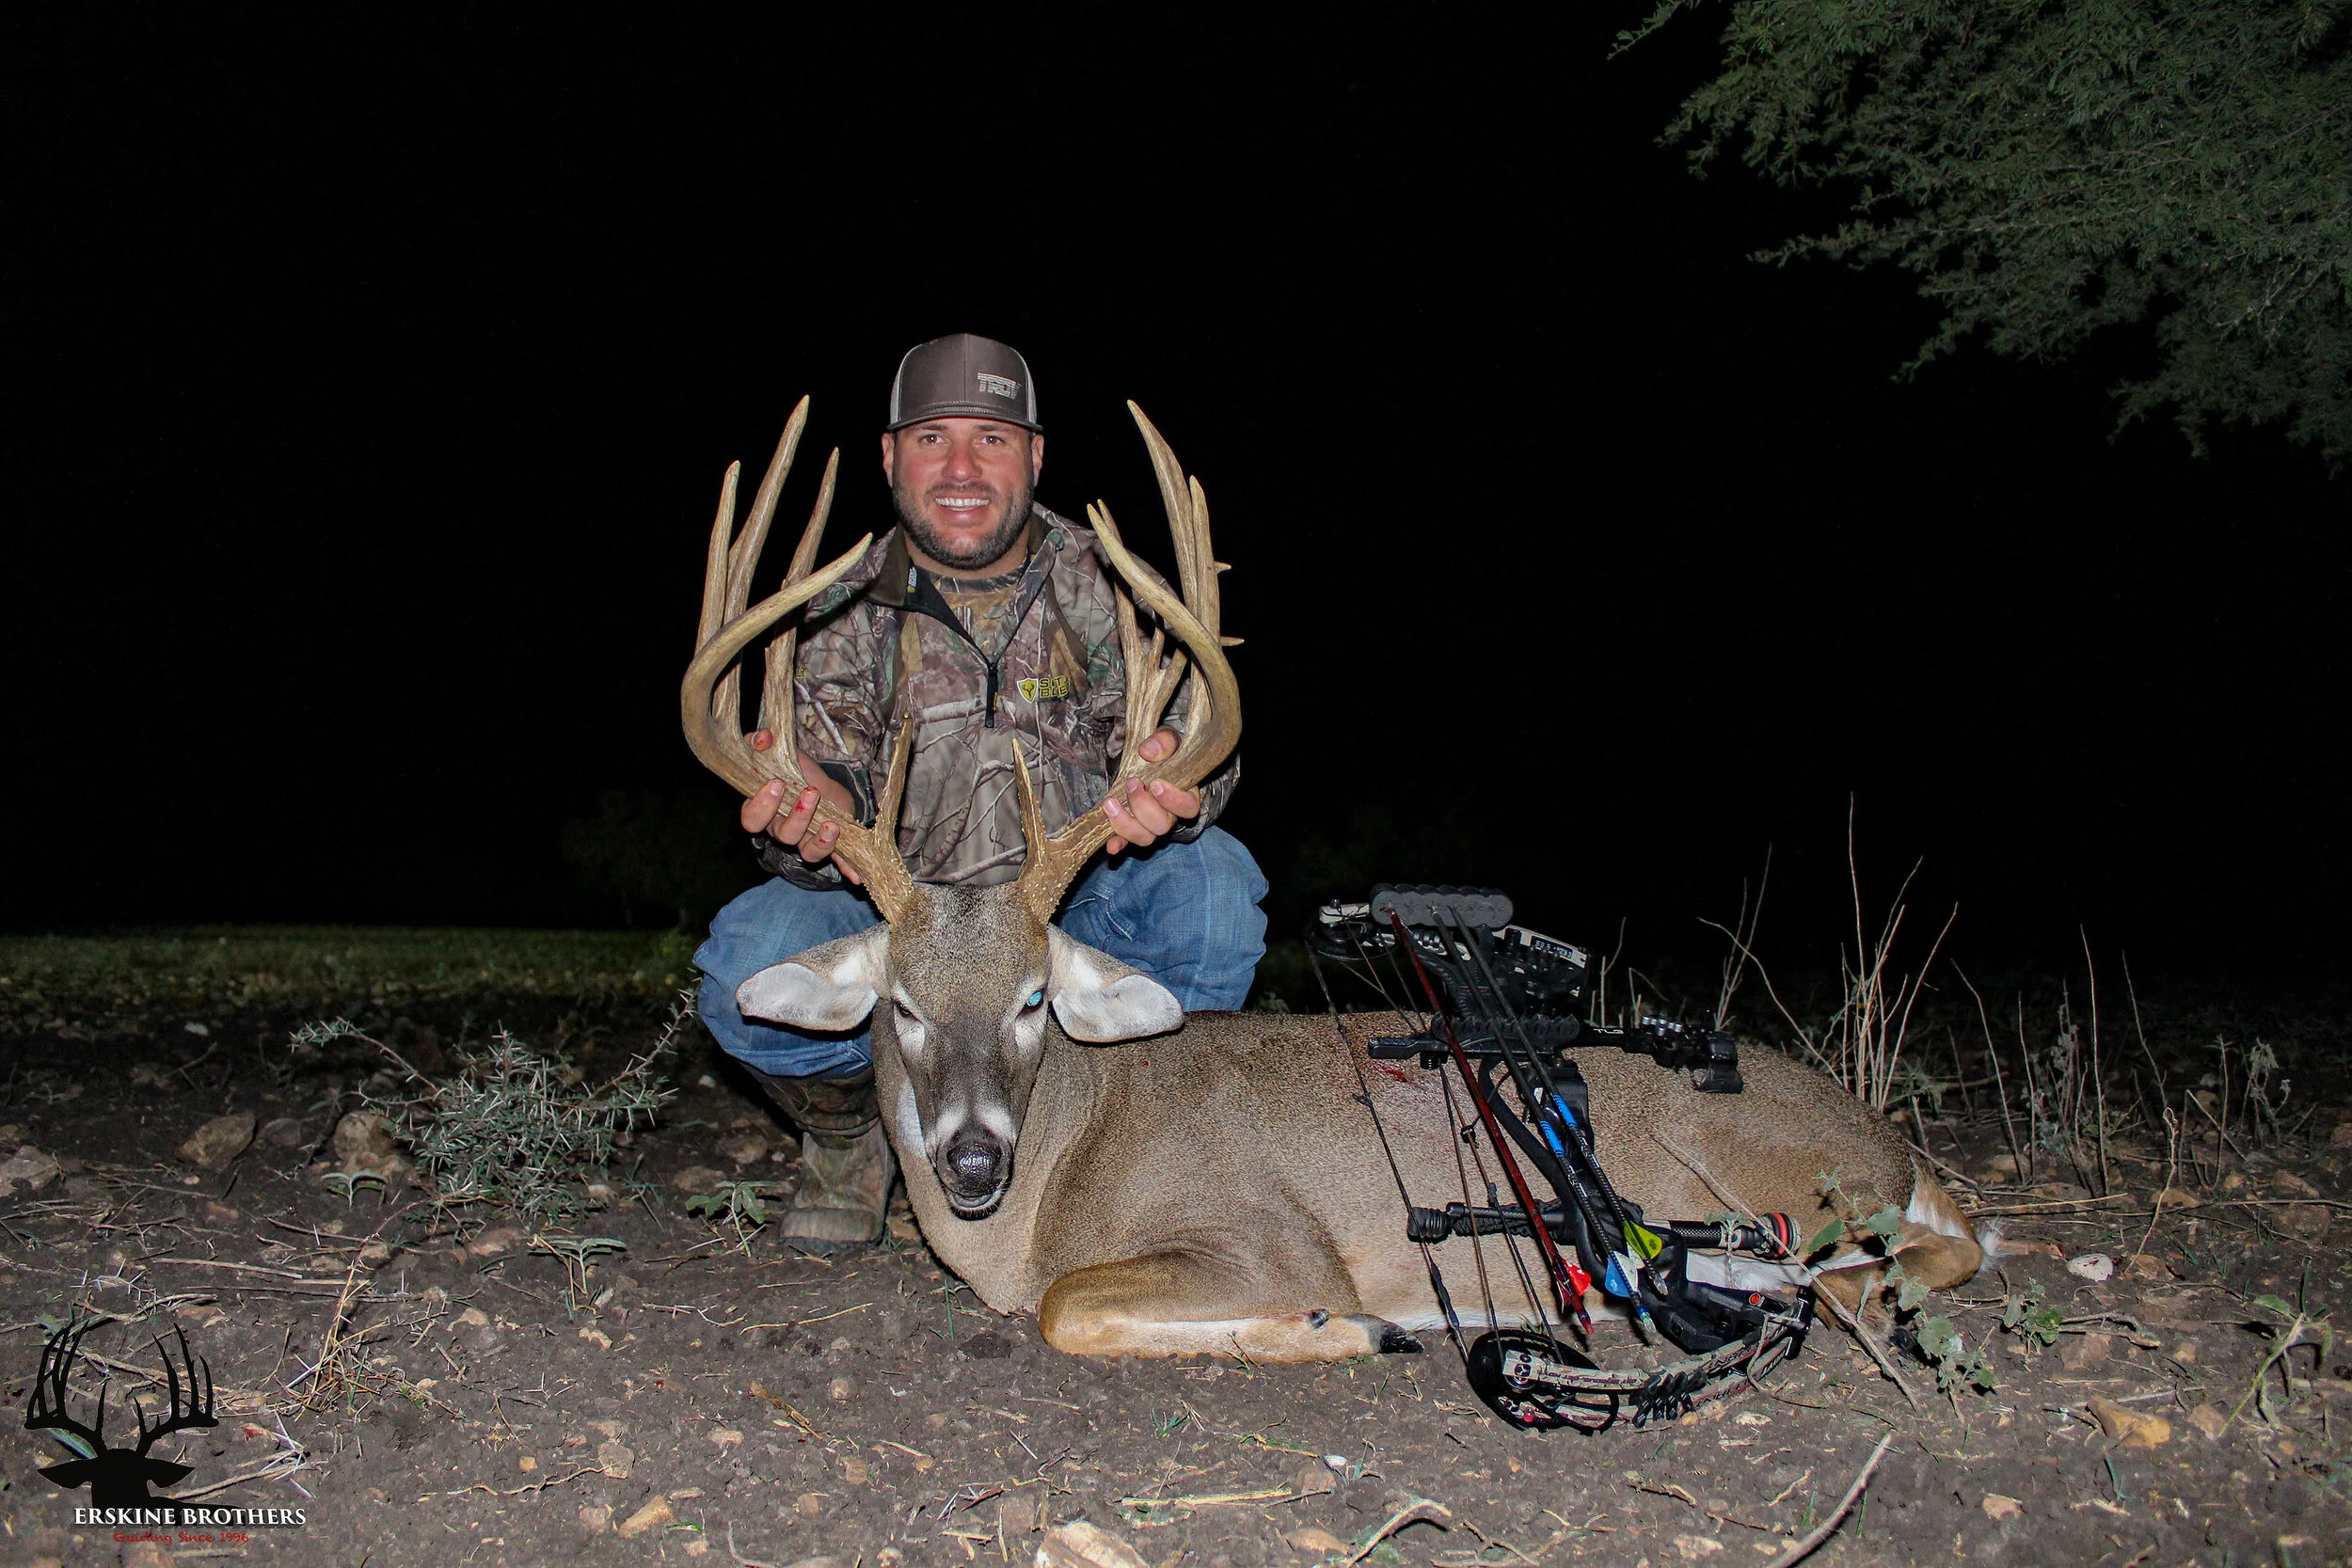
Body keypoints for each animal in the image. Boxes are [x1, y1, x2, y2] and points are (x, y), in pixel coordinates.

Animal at [680, 401, 1986, 1363]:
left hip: (1765, 1186)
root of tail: (1887, 1140)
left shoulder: (1264, 1236)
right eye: (899, 1002)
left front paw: (1346, 1323)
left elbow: (1070, 1307)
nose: (967, 1160)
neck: (1046, 1188)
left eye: (1033, 999)